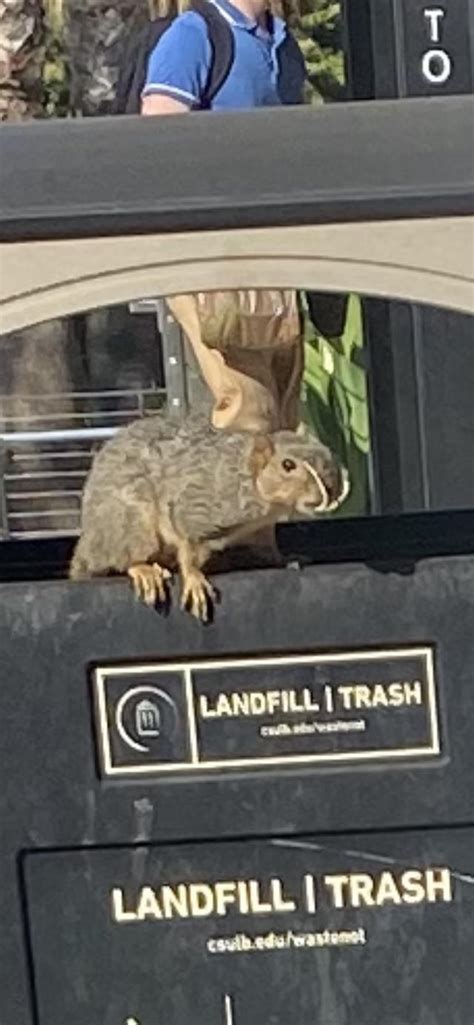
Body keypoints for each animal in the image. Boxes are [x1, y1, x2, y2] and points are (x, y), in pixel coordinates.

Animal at [70, 414, 349, 620]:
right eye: (287, 465)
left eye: (328, 453)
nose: (331, 489)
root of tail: (88, 542)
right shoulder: (201, 505)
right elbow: (189, 542)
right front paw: (194, 578)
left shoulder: (259, 529)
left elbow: (266, 549)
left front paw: (285, 558)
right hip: (130, 521)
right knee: (121, 556)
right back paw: (143, 570)